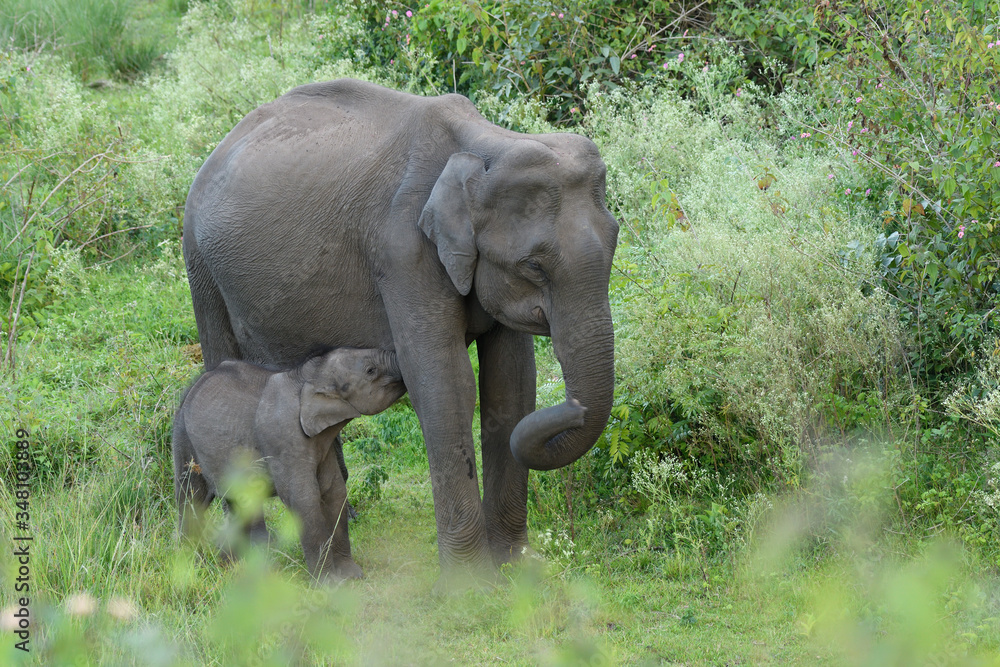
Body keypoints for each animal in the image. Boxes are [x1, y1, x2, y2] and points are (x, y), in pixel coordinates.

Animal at [172, 346, 406, 580]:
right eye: (371, 370)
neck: (308, 376)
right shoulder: (285, 439)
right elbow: (304, 499)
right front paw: (329, 583)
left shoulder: (322, 444)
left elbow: (334, 492)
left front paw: (352, 577)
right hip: (184, 440)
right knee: (192, 499)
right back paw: (193, 570)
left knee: (238, 505)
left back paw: (229, 567)